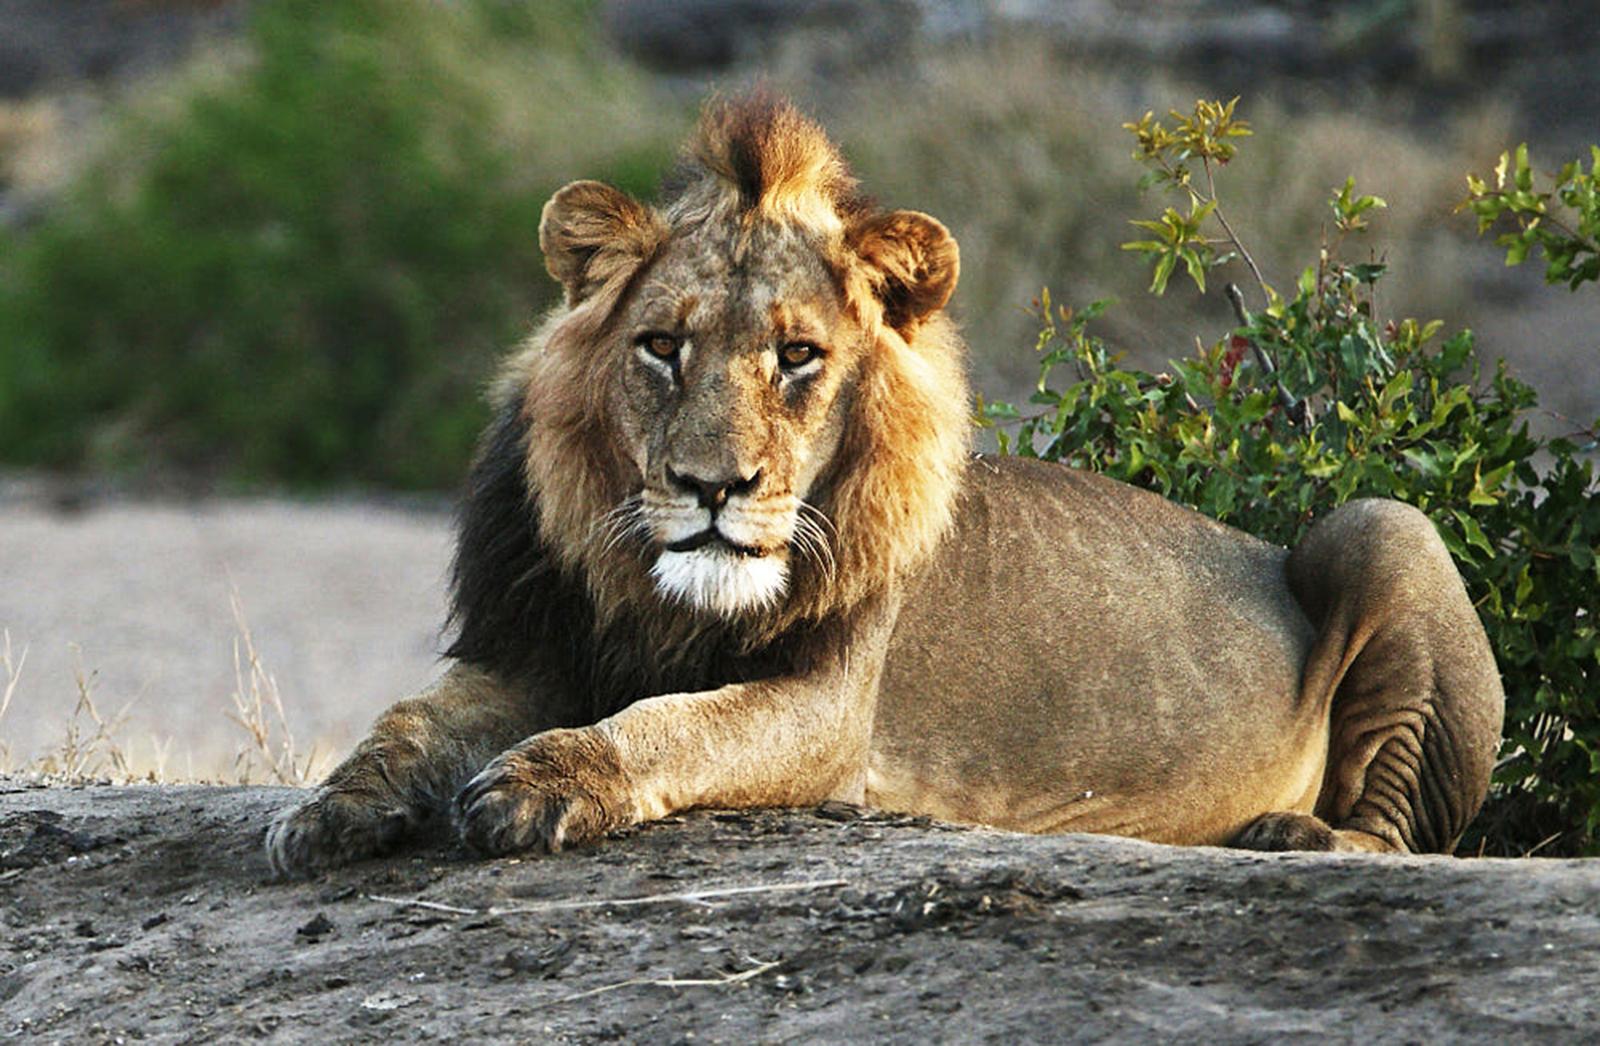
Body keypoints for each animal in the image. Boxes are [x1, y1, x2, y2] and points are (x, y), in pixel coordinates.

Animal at [266, 93, 1504, 874]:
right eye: (661, 346)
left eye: (796, 356)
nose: (711, 485)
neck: (660, 598)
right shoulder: (531, 649)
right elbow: (407, 720)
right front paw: (328, 807)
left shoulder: (827, 708)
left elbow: (674, 725)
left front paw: (541, 781)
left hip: (1382, 522)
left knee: (1402, 833)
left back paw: (1293, 837)